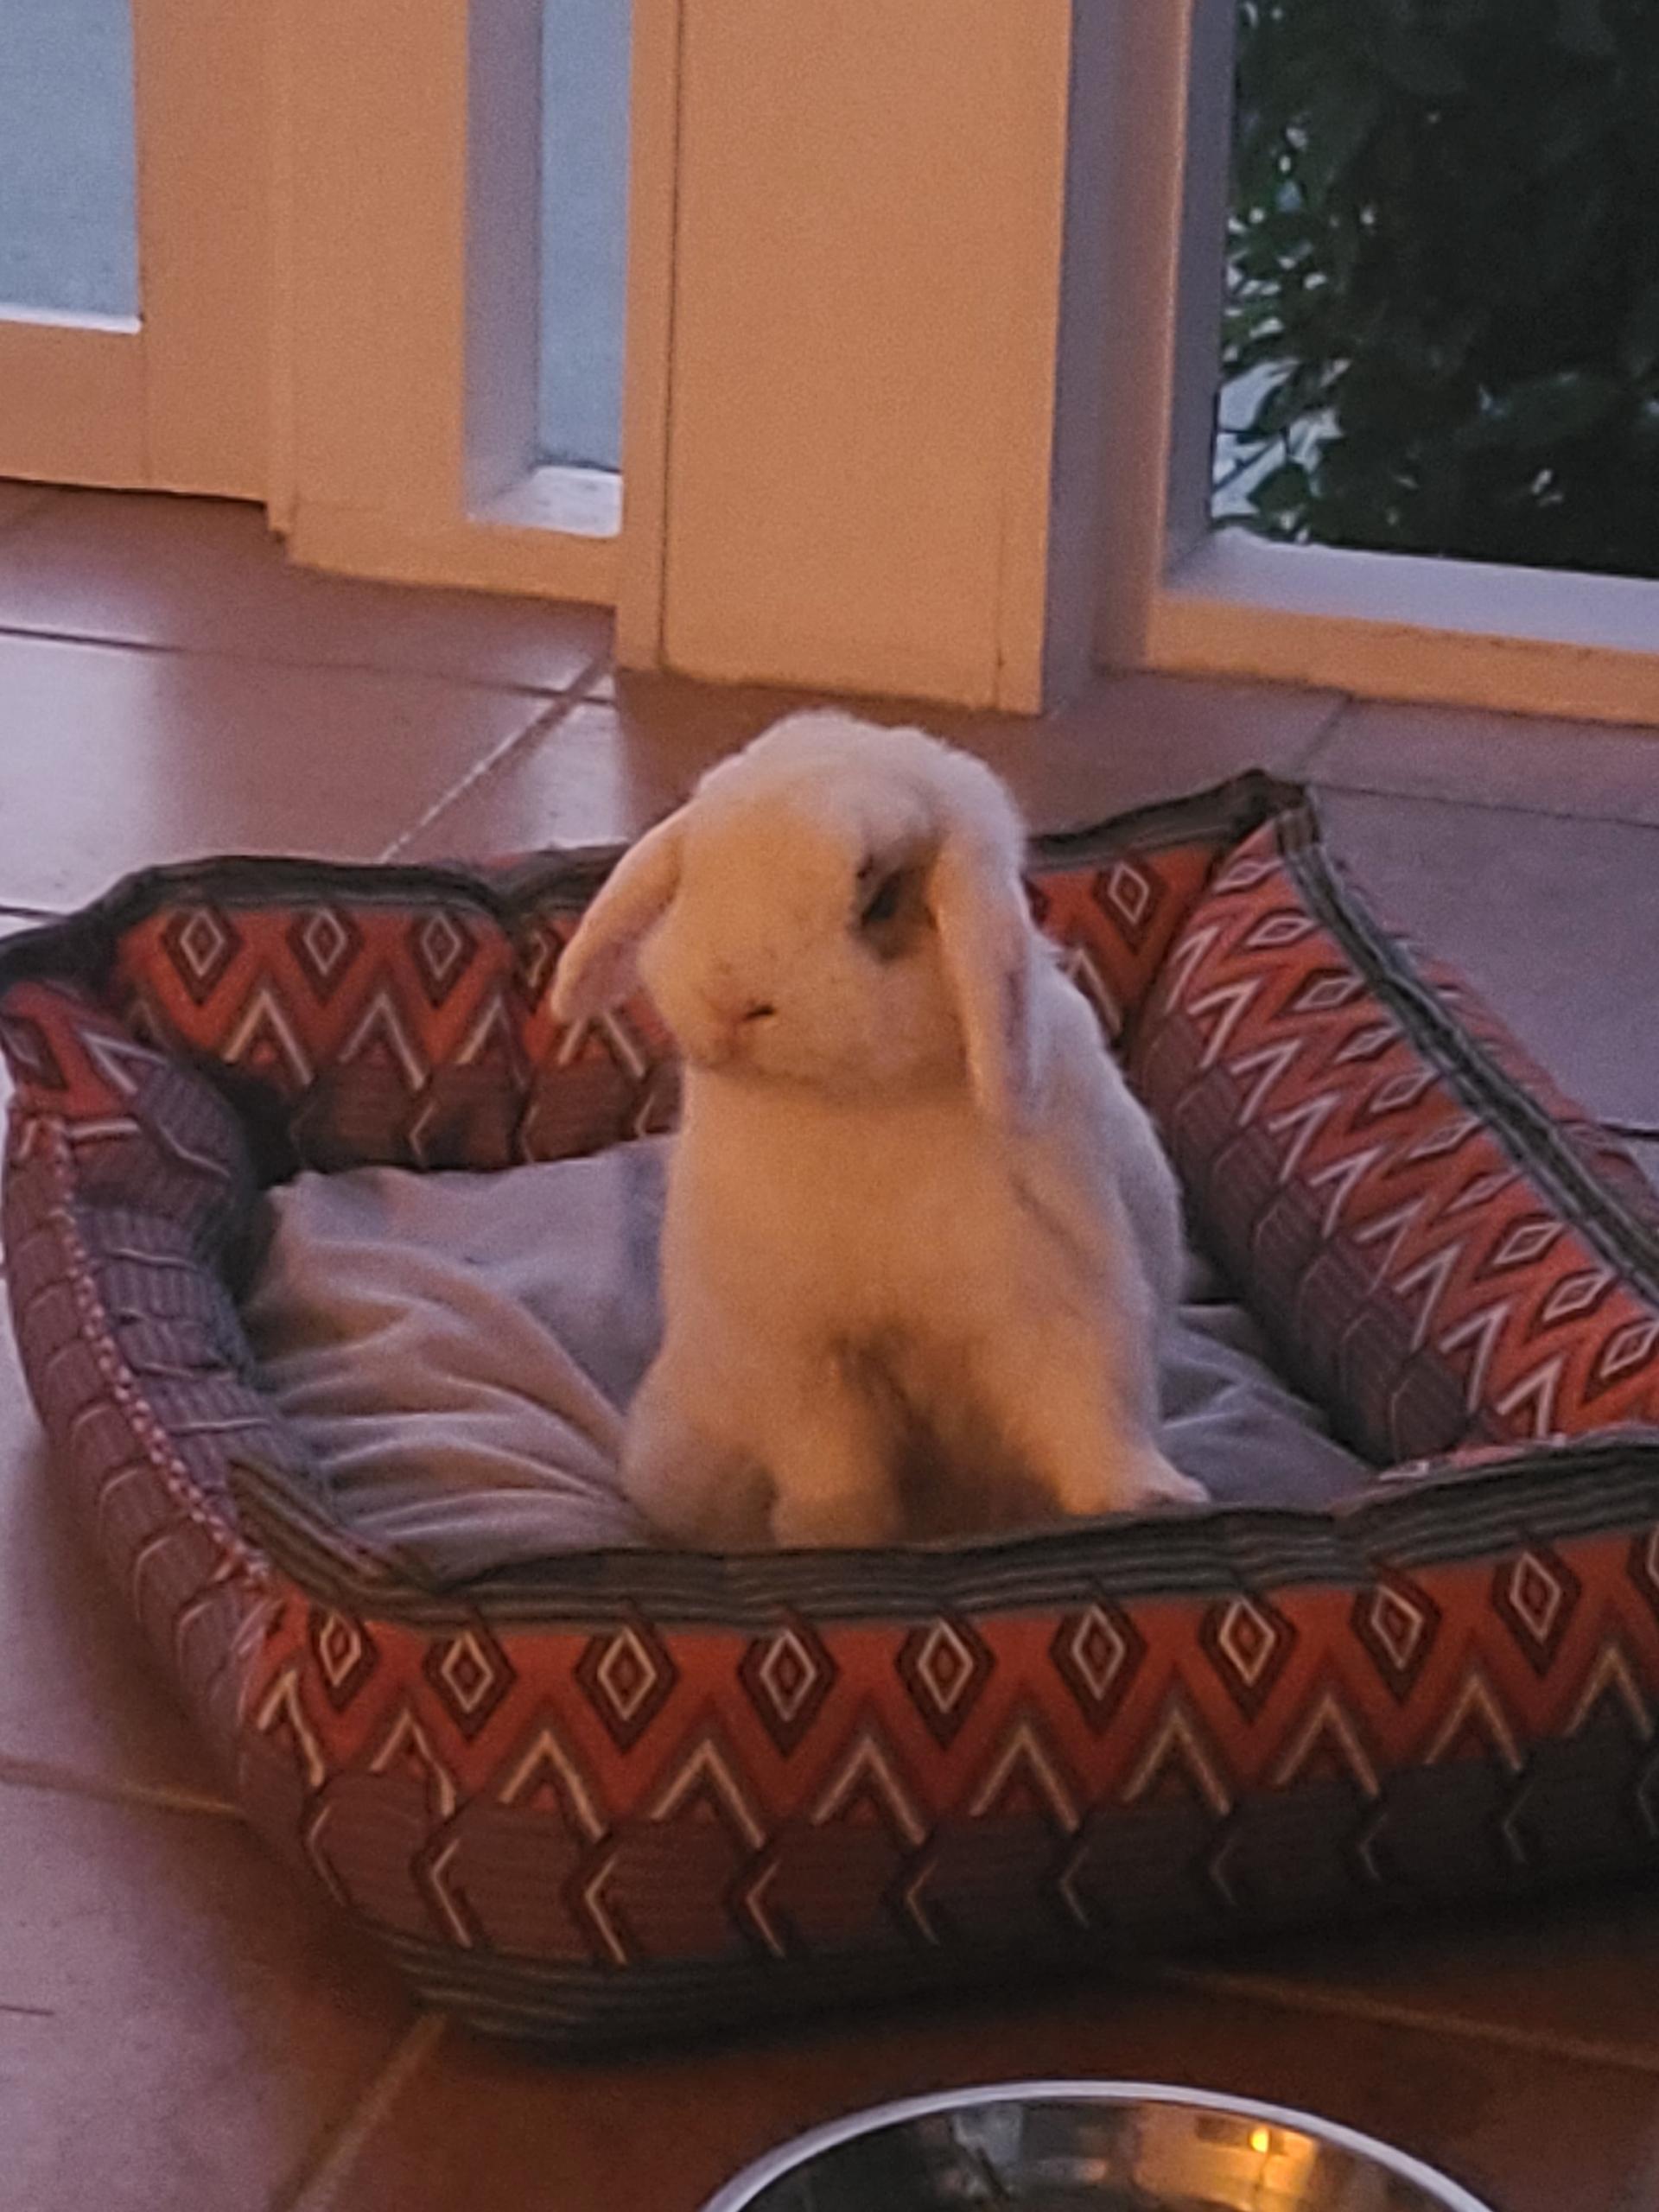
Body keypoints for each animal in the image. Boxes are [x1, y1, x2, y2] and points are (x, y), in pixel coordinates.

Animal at [549, 709, 1206, 1549]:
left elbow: (1087, 1412)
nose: (731, 998)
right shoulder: (799, 1354)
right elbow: (835, 1463)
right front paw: (831, 1537)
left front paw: (1147, 1499)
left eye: (881, 901)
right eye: (695, 872)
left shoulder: (1059, 1304)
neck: (851, 1103)